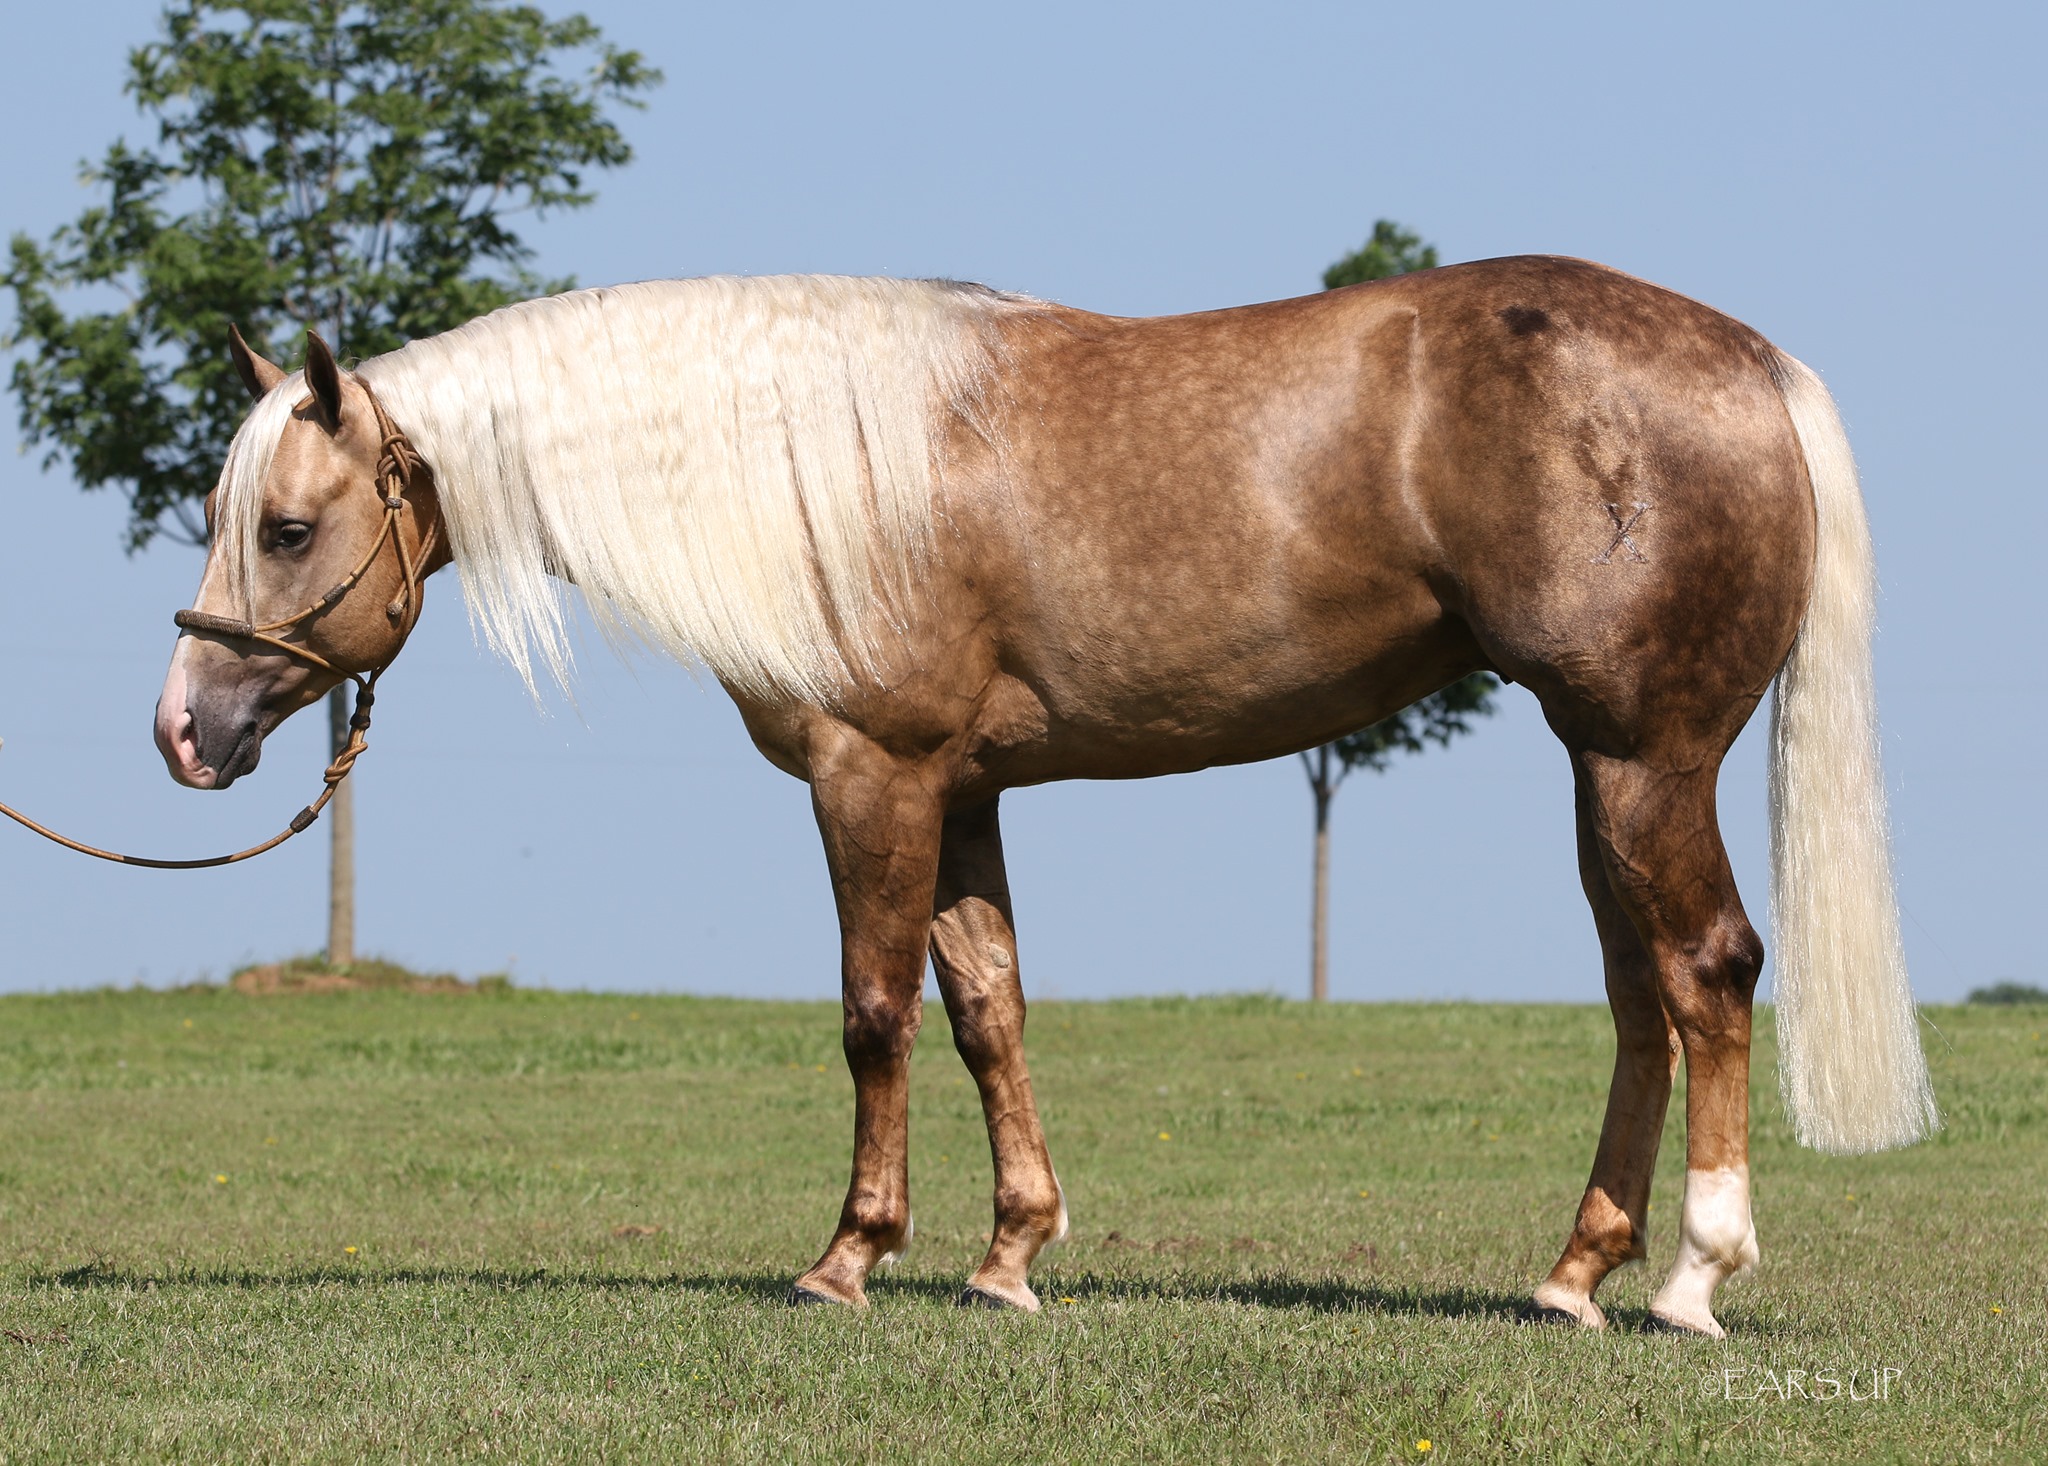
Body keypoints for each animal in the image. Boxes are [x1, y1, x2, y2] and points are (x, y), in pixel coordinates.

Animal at [153, 257, 1936, 1336]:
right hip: (1598, 772)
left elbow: (874, 1013)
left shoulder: (872, 778)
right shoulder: (966, 792)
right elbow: (987, 1007)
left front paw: (848, 1256)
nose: (183, 730)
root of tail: (1754, 362)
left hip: (1646, 758)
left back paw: (1693, 1276)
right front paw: (1009, 1255)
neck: (819, 471)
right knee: (1641, 1000)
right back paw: (1573, 1272)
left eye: (290, 528)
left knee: (1708, 973)